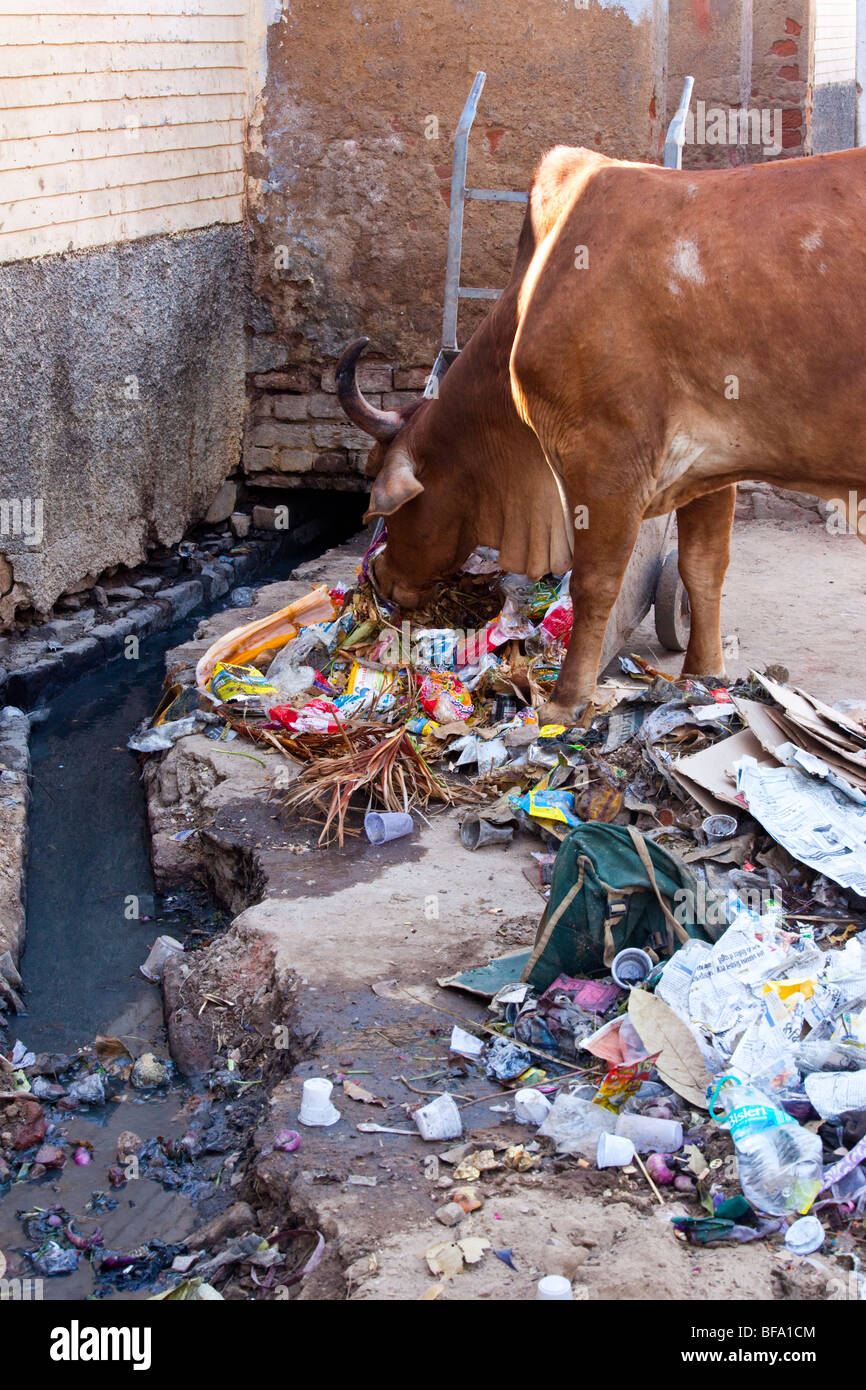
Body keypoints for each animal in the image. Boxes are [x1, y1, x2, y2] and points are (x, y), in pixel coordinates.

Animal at [337, 144, 866, 723]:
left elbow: (595, 584)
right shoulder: (712, 467)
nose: (379, 576)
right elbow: (703, 568)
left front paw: (565, 702)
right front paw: (702, 676)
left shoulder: (606, 461)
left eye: (383, 493)